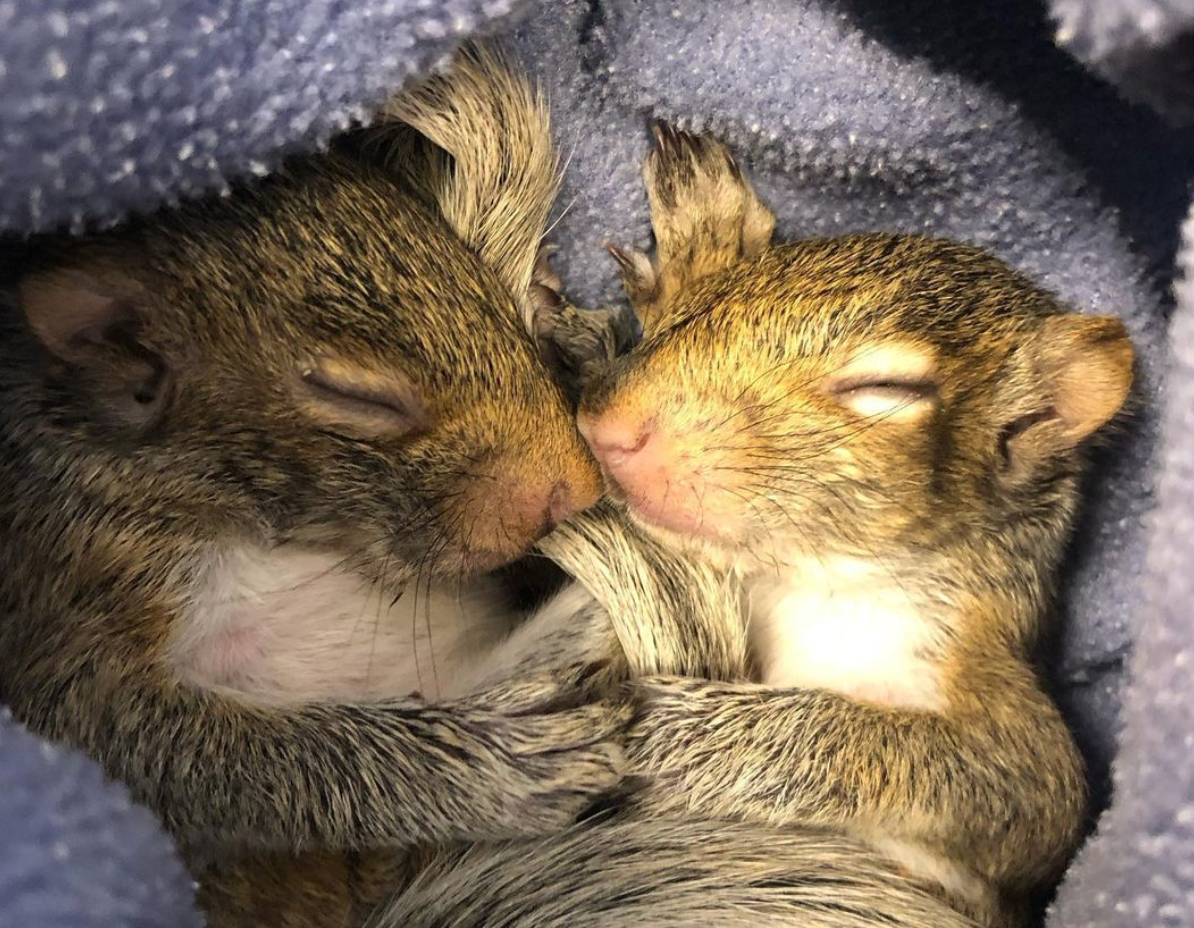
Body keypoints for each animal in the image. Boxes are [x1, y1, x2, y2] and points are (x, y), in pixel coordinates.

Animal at [528, 124, 1134, 926]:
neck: (812, 583)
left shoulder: (1018, 741)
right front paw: (698, 235)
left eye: (885, 387)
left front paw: (667, 732)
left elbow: (944, 767)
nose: (610, 429)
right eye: (699, 308)